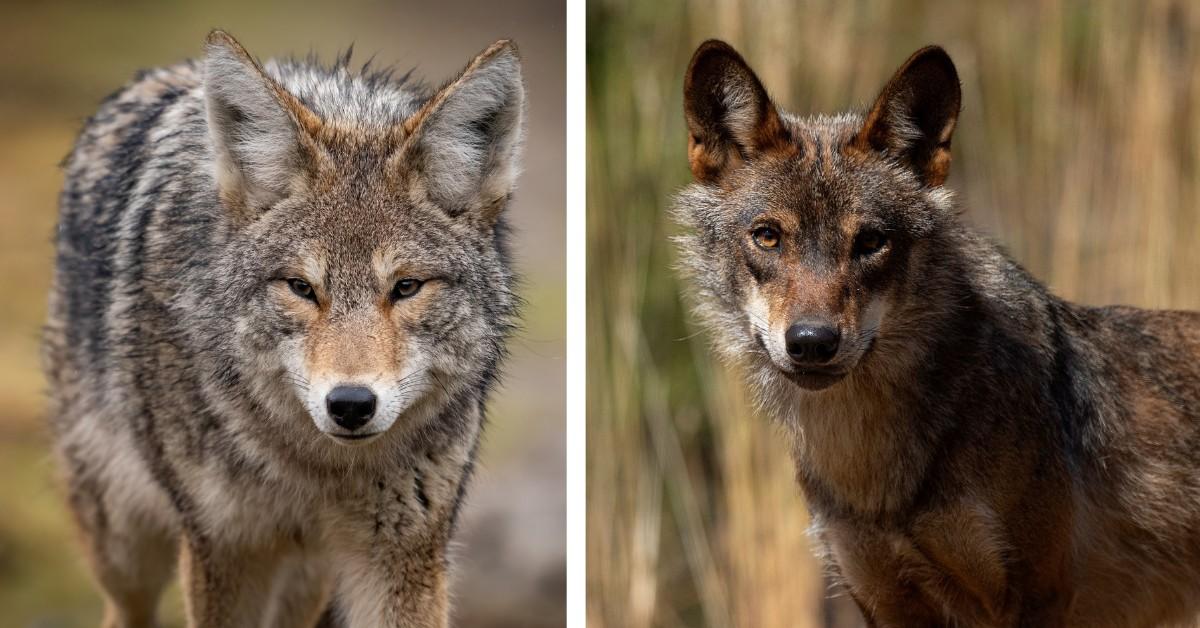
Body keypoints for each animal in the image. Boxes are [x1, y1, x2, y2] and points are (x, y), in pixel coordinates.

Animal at [42, 30, 524, 628]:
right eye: (301, 287)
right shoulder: (223, 549)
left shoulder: (402, 554)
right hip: (124, 547)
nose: (350, 404)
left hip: (305, 578)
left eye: (407, 287)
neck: (317, 469)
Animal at [674, 40, 1200, 627]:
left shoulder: (1039, 598)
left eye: (871, 242)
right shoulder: (883, 601)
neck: (874, 477)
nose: (812, 342)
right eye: (767, 237)